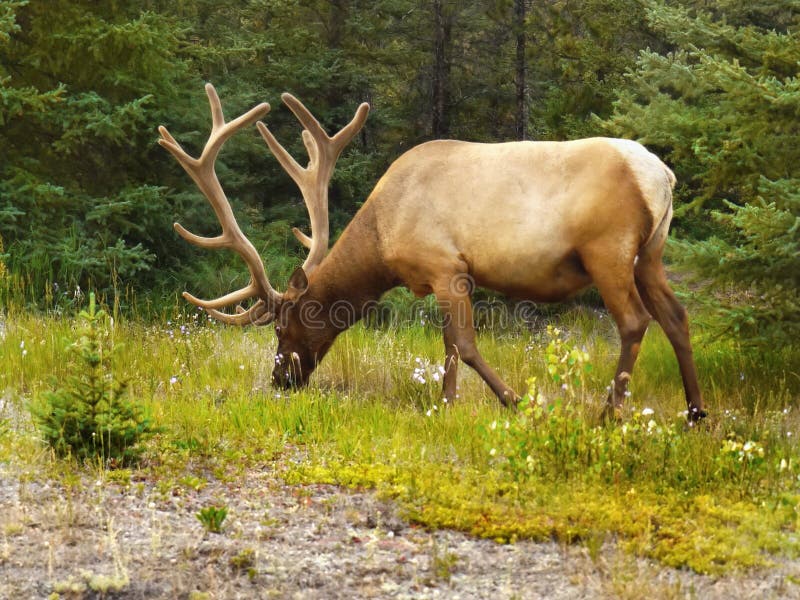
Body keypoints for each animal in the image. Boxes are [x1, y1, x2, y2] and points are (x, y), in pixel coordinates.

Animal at [158, 84, 706, 422]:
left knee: (635, 321)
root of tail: (662, 175)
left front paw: (515, 402)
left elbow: (463, 344)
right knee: (677, 317)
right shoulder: (447, 275)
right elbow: (449, 347)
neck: (383, 238)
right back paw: (696, 412)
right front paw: (447, 404)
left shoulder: (447, 266)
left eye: (281, 327)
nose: (280, 380)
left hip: (608, 249)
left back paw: (608, 413)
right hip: (652, 252)